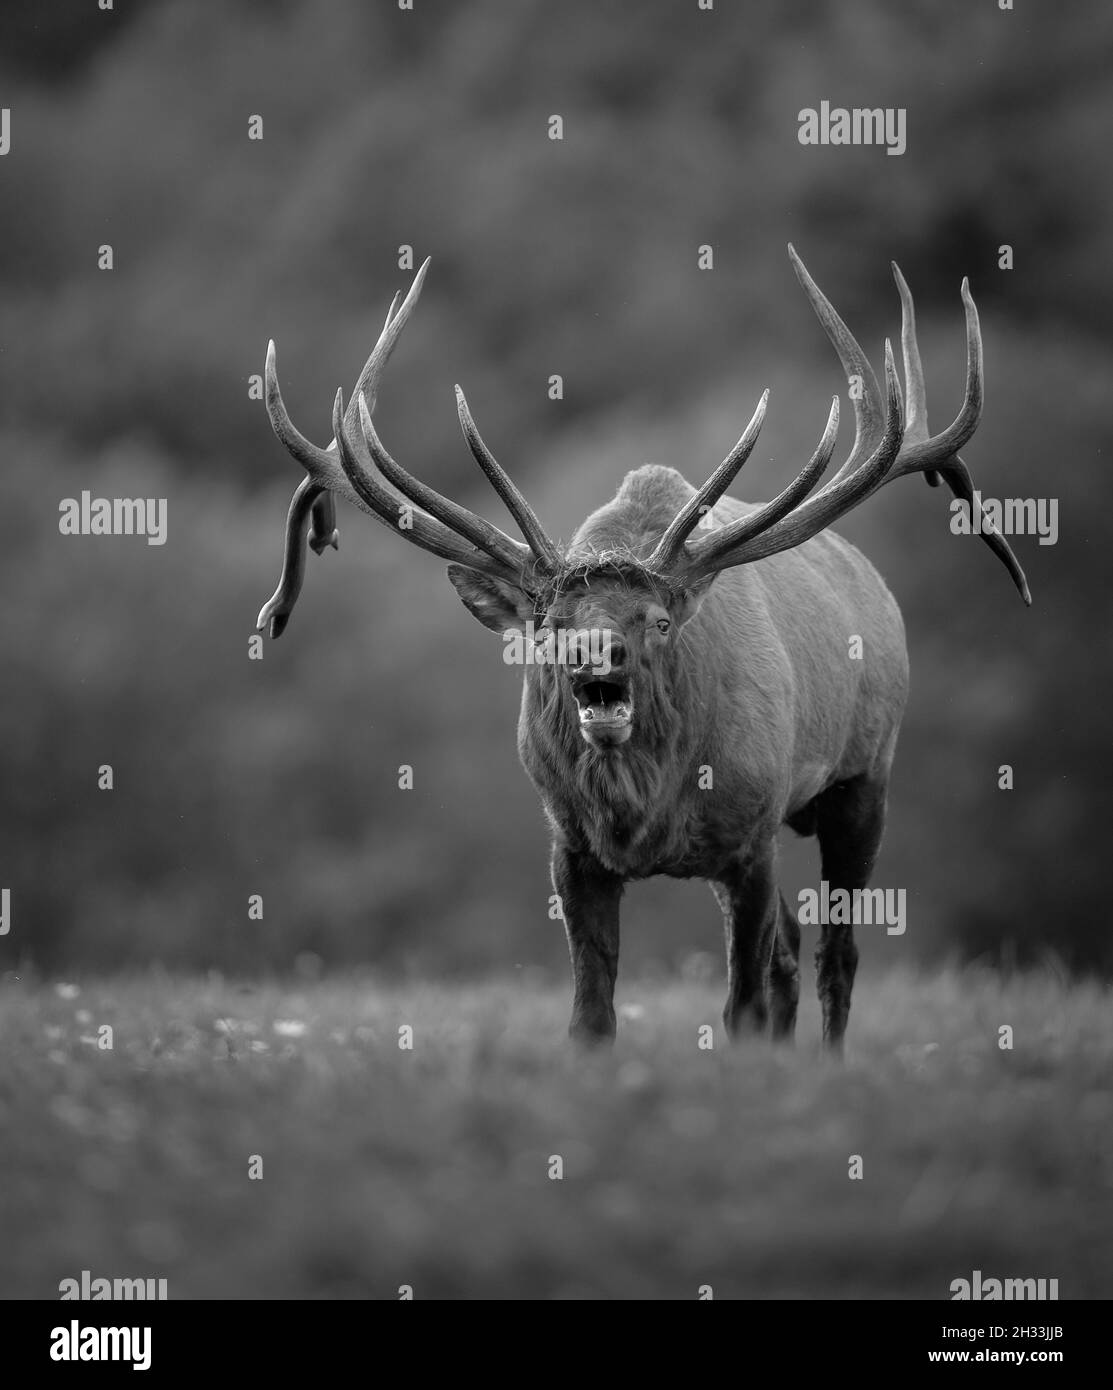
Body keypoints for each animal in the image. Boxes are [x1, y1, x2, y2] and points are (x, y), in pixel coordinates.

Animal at [256, 247, 1030, 1051]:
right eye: (549, 623)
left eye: (658, 620)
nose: (596, 655)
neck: (648, 808)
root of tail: (875, 586)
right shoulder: (572, 848)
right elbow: (592, 1017)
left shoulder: (752, 837)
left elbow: (742, 1007)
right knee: (790, 952)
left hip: (864, 776)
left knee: (834, 957)